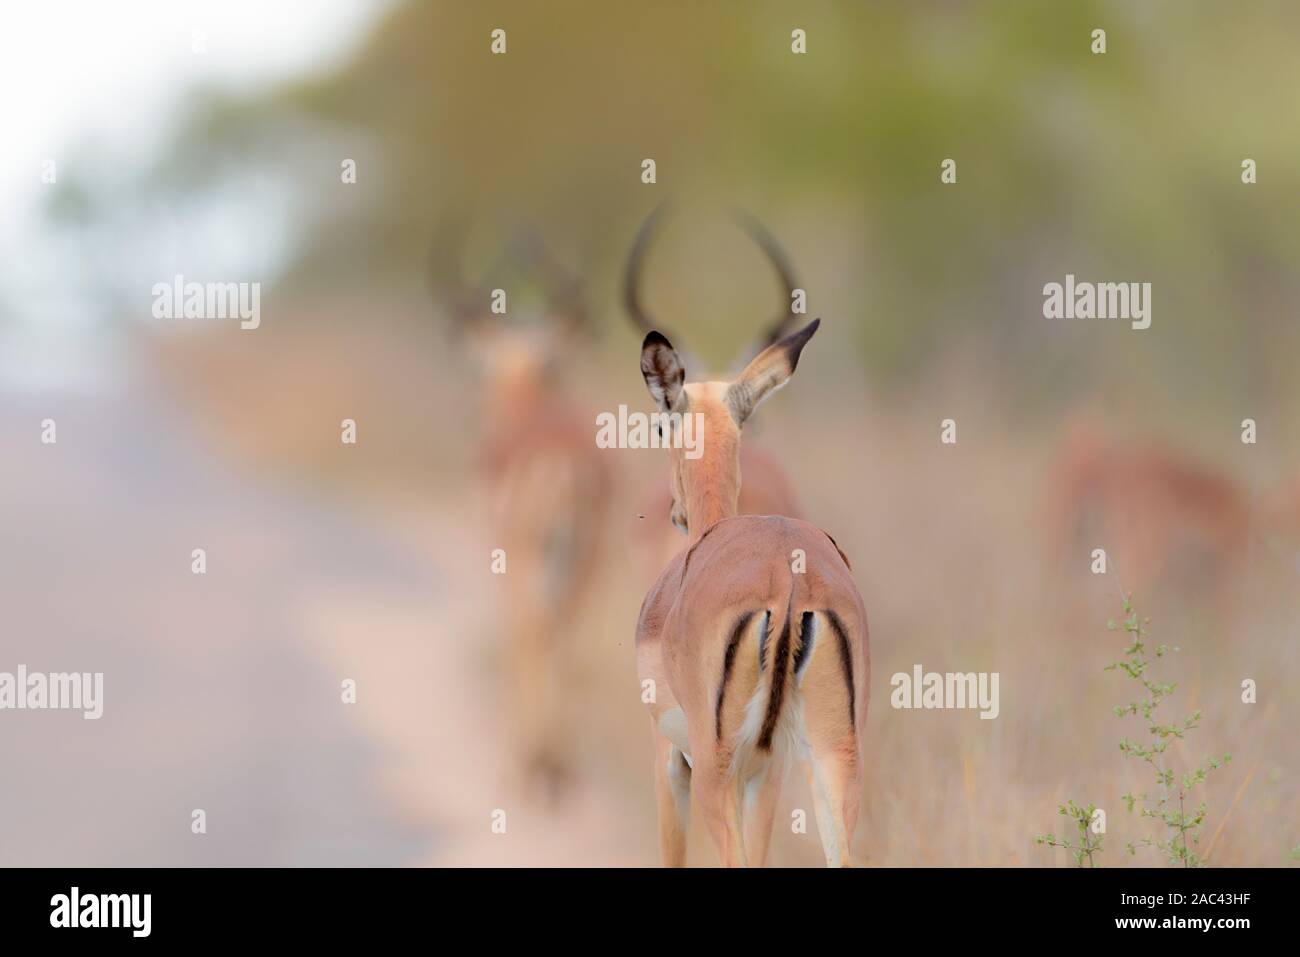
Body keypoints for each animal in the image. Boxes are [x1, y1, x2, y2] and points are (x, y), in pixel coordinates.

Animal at [432, 224, 612, 795]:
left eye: (482, 365)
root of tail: (563, 463)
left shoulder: (501, 558)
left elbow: (516, 636)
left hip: (529, 557)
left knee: (534, 630)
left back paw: (532, 765)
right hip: (587, 563)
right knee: (570, 638)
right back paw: (559, 764)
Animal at [634, 318, 870, 867]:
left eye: (660, 427)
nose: (674, 512)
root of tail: (789, 579)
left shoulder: (669, 756)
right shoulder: (769, 768)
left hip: (716, 772)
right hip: (833, 757)